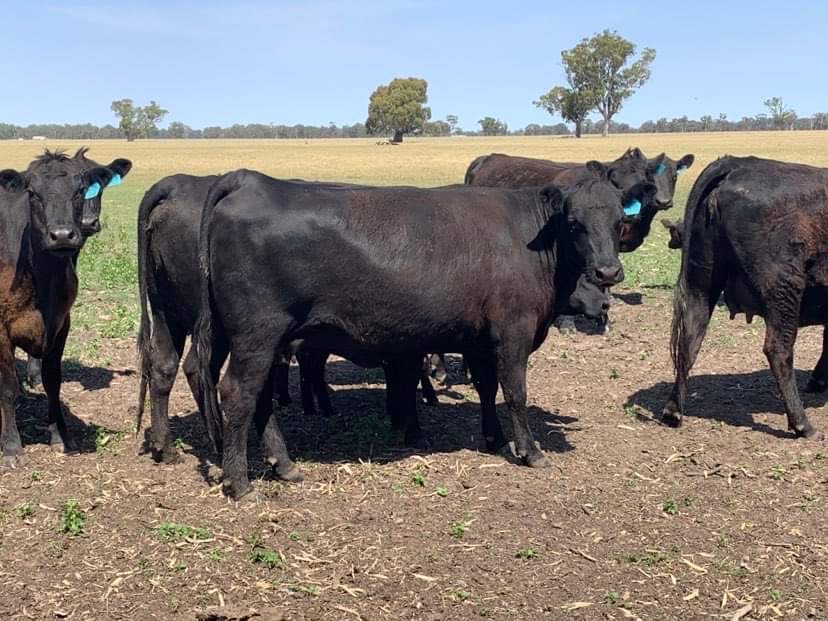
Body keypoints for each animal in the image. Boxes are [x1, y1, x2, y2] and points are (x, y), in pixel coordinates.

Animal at [195, 165, 657, 498]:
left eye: (619, 220)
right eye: (574, 222)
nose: (608, 272)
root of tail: (251, 179)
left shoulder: (479, 339)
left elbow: (487, 387)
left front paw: (493, 437)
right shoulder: (513, 332)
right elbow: (516, 393)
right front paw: (529, 451)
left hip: (261, 339)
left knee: (259, 399)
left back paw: (285, 465)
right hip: (257, 334)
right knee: (238, 394)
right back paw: (240, 483)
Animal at [664, 155, 828, 440]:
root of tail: (738, 163)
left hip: (701, 283)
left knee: (689, 338)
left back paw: (673, 411)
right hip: (784, 289)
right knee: (778, 349)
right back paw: (803, 425)